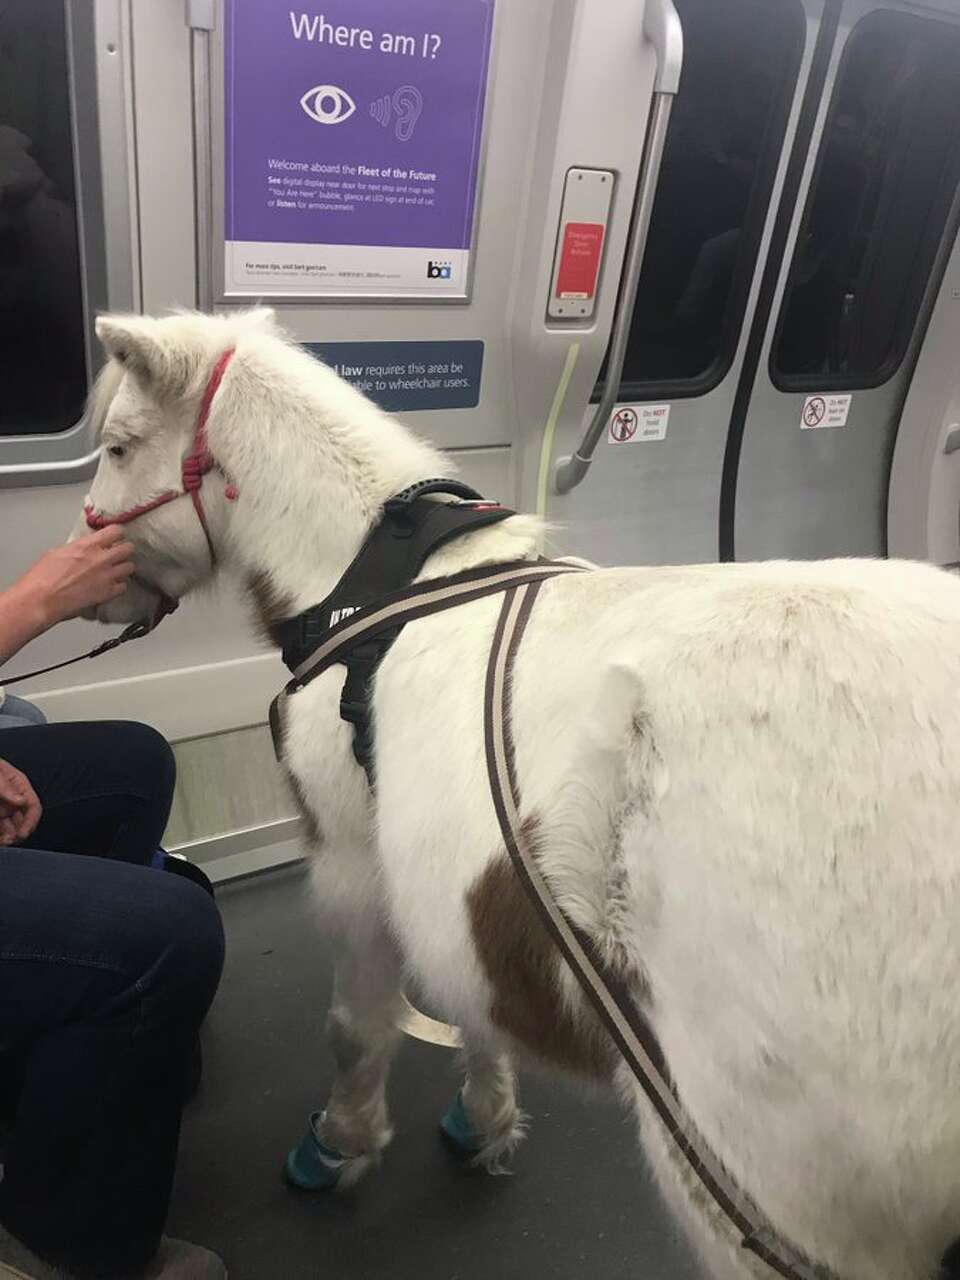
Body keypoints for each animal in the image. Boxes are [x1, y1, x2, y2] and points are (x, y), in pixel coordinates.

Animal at [74, 306, 960, 1280]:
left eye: (118, 447)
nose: (91, 572)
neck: (377, 584)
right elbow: (474, 1004)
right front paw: (486, 1117)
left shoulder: (350, 861)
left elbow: (356, 1023)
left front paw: (341, 1143)